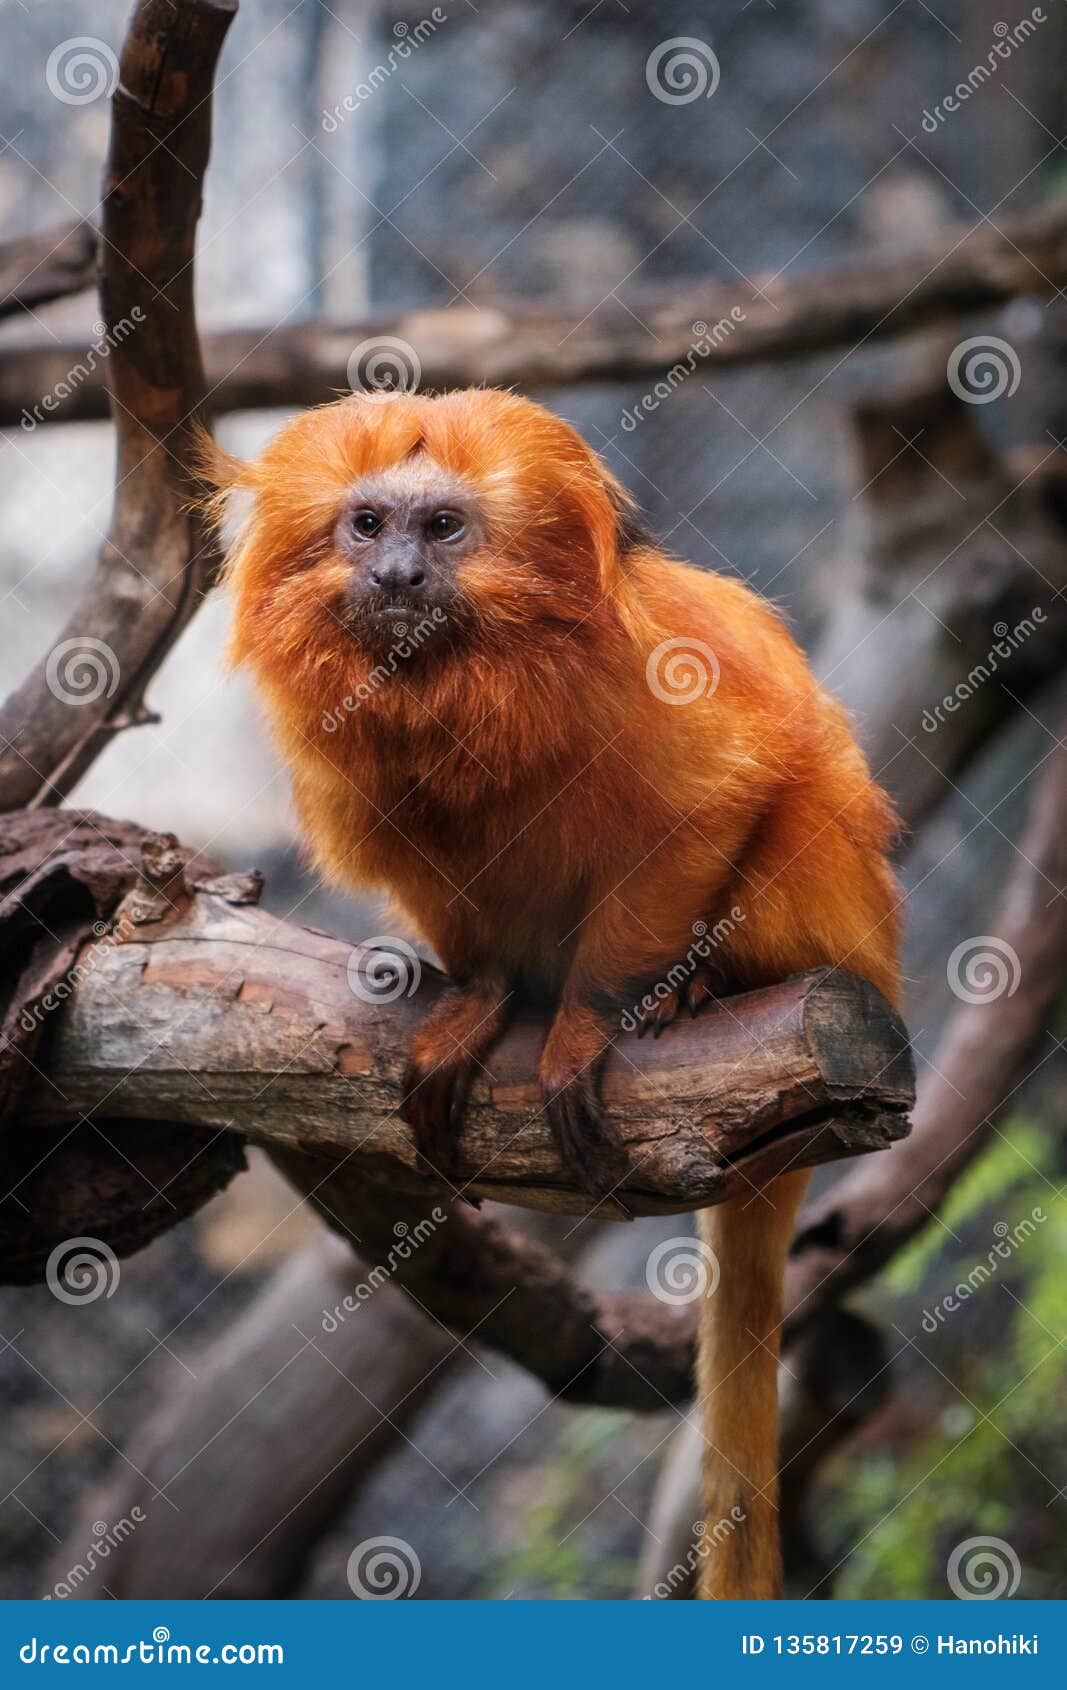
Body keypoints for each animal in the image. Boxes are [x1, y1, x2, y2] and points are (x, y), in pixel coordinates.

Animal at [204, 388, 901, 1599]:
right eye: (366, 524)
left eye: (441, 529)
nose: (396, 573)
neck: (465, 677)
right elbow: (447, 890)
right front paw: (482, 1003)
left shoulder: (658, 699)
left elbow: (715, 800)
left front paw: (588, 1026)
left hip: (832, 920)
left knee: (795, 810)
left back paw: (699, 992)